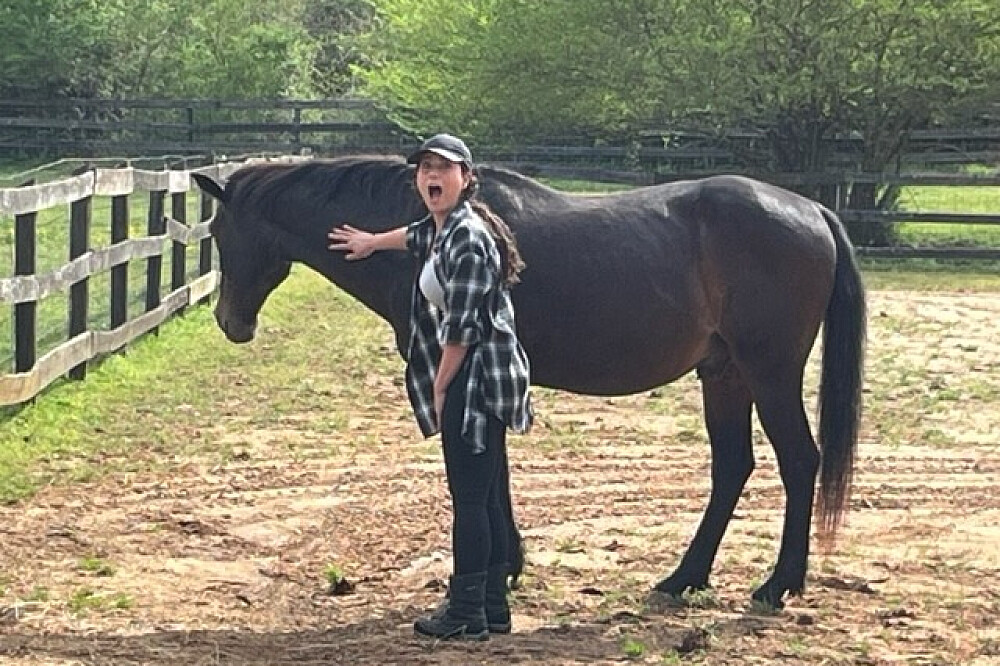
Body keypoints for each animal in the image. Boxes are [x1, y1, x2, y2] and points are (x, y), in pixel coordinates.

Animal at [193, 155, 865, 608]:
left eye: (219, 233)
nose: (229, 322)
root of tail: (812, 209)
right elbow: (497, 473)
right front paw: (510, 565)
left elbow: (483, 471)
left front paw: (494, 572)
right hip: (723, 374)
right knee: (732, 468)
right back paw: (683, 579)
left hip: (768, 371)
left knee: (799, 461)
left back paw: (779, 584)